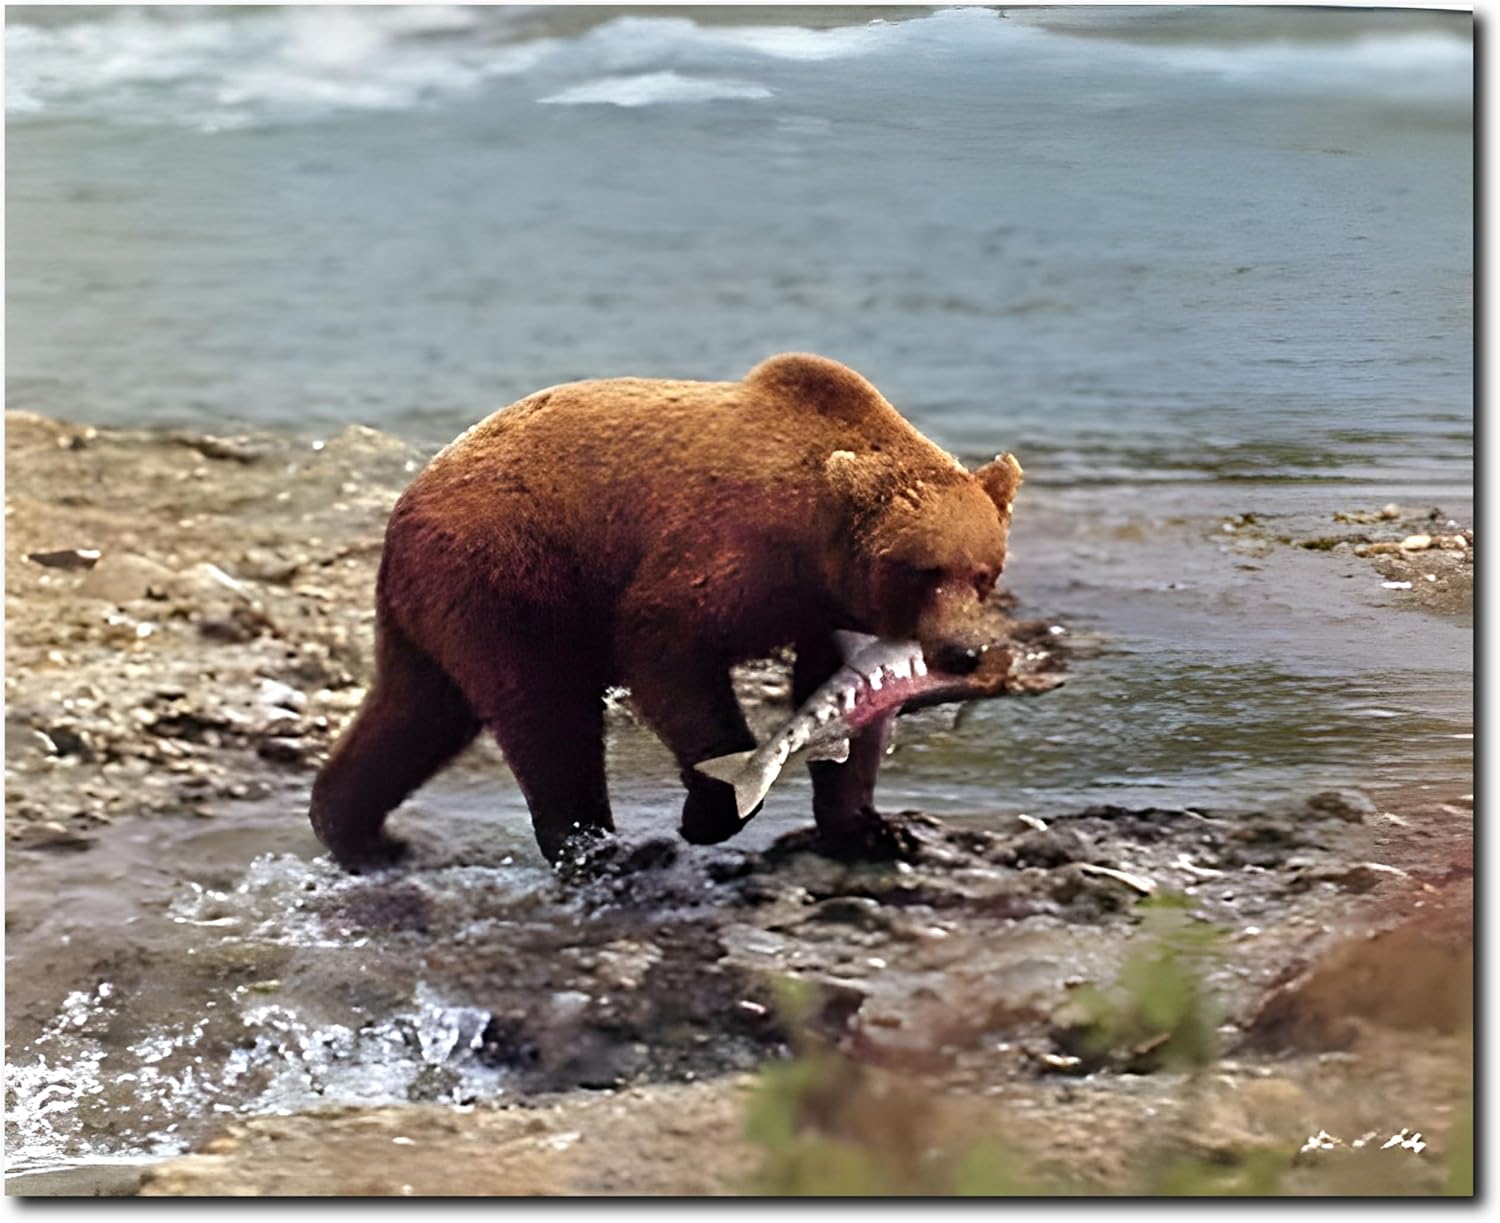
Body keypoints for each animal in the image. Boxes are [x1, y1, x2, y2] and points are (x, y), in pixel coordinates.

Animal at [309, 353, 1022, 868]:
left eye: (982, 573)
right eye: (923, 572)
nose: (961, 650)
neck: (816, 544)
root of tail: (411, 497)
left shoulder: (839, 608)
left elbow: (847, 699)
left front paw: (872, 828)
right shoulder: (734, 549)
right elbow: (667, 645)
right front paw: (711, 811)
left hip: (438, 606)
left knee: (417, 710)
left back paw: (358, 831)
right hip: (514, 571)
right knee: (546, 711)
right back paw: (598, 846)